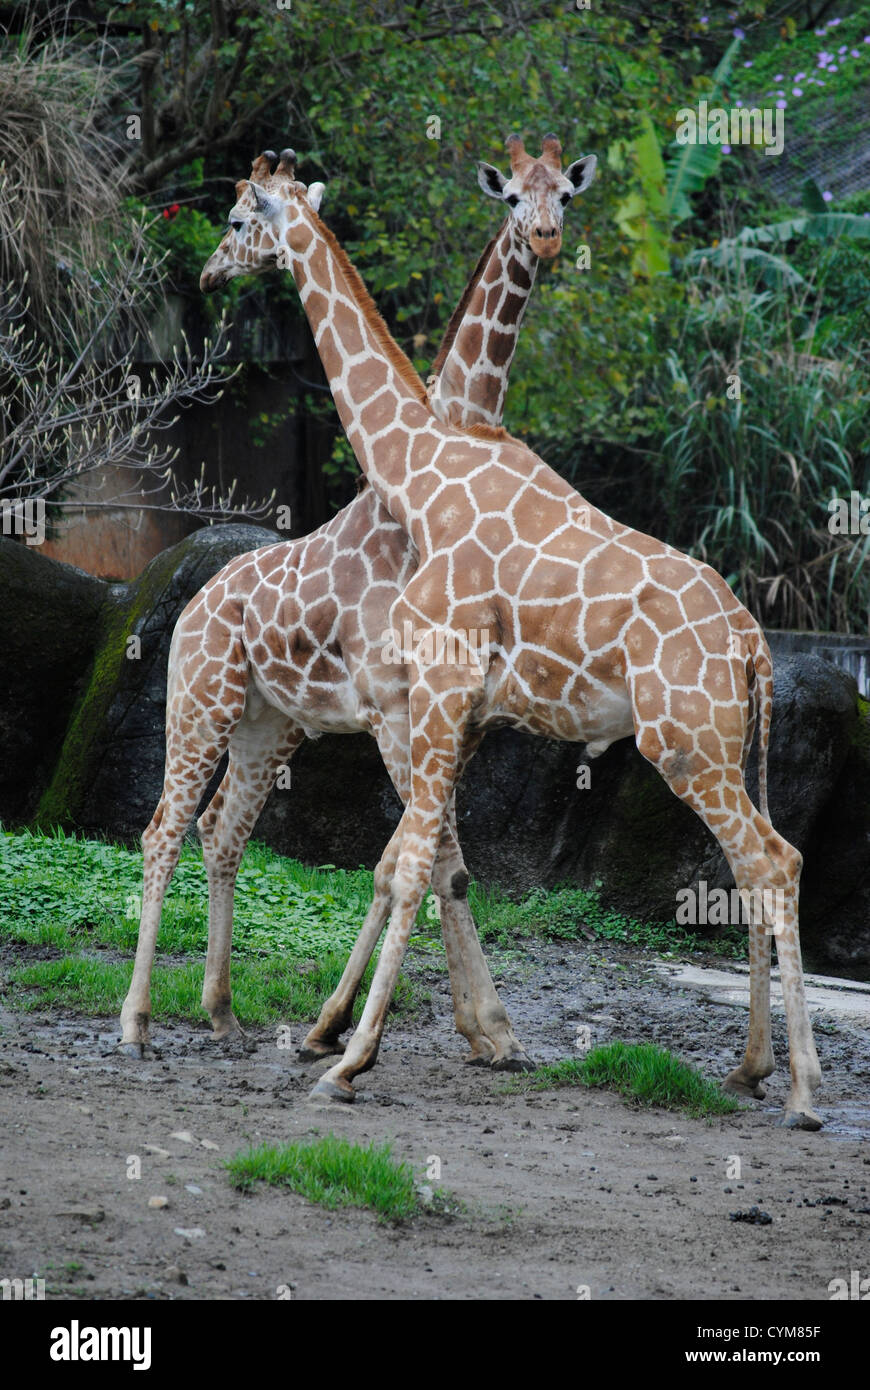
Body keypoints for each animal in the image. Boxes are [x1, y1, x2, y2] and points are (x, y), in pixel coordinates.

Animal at [119, 137, 593, 1074]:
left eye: (564, 195)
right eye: (513, 197)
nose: (210, 270)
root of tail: (191, 602)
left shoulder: (446, 718)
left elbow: (428, 860)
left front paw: (479, 1030)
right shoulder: (395, 711)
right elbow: (432, 862)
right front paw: (465, 1028)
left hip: (270, 723)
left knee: (223, 829)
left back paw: (222, 1013)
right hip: (199, 702)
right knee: (162, 830)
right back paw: (137, 1022)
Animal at [192, 144, 821, 1129]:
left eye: (232, 221)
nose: (210, 274)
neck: (419, 466)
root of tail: (754, 643)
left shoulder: (435, 692)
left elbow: (411, 864)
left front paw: (351, 1057)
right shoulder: (450, 710)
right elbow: (421, 862)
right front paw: (404, 1035)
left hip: (686, 741)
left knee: (771, 861)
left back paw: (799, 1090)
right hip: (716, 744)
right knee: (762, 862)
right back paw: (750, 1069)